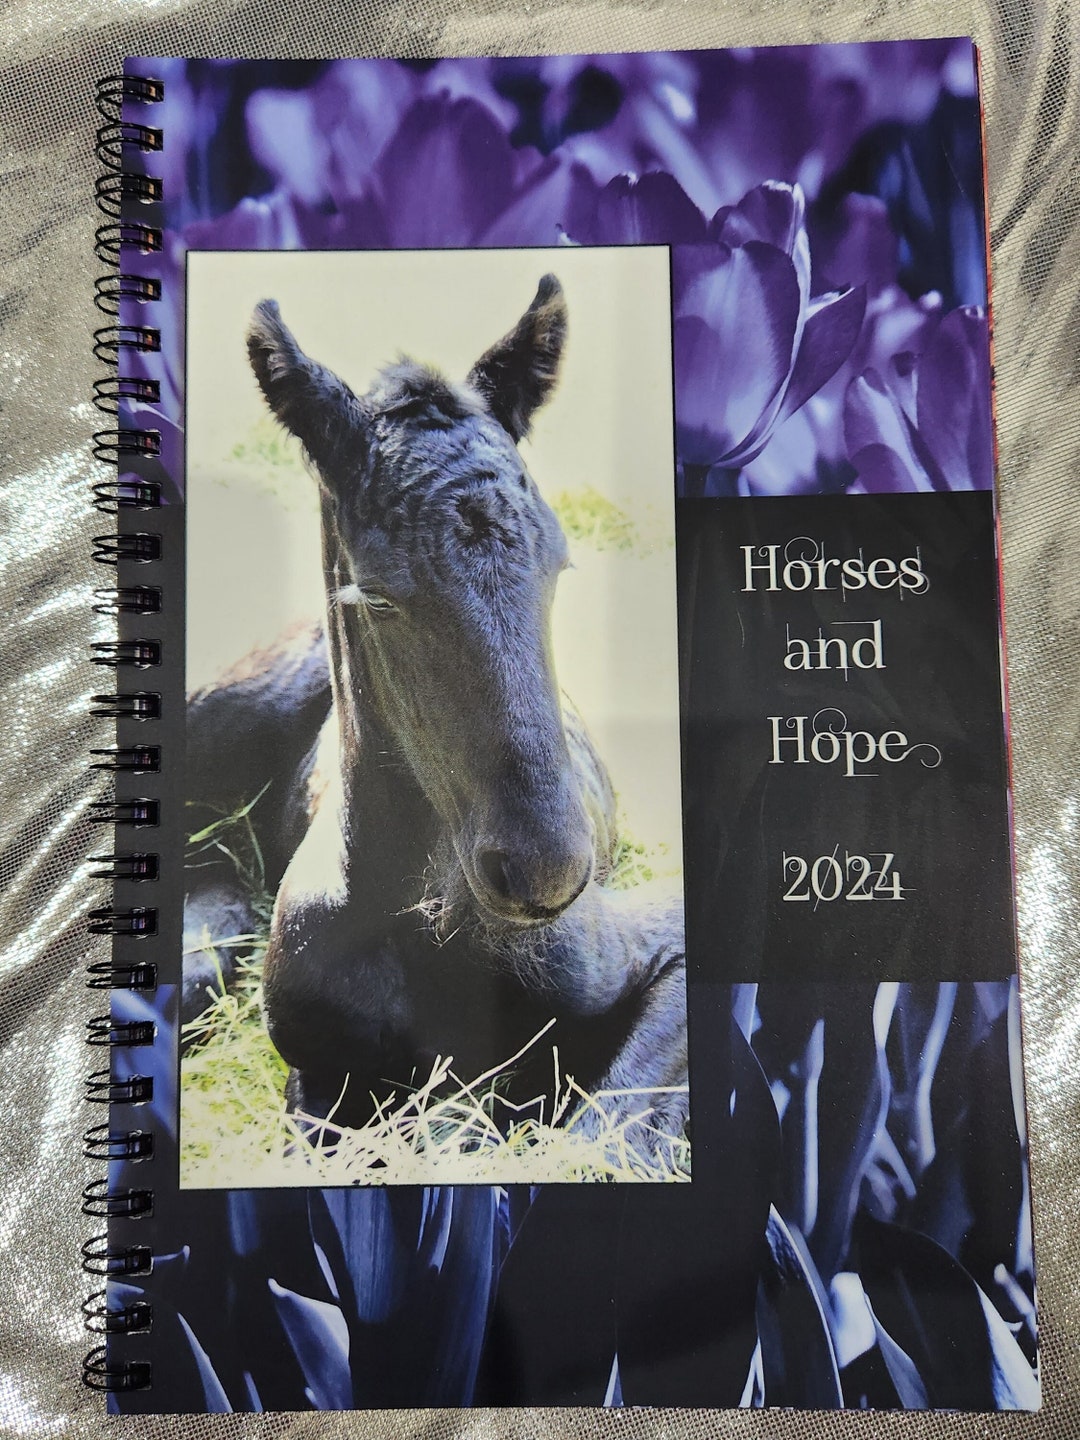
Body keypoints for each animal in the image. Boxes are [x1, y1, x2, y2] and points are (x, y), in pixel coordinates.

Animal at [184, 274, 688, 1158]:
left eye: (559, 564)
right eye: (379, 596)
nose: (546, 871)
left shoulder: (665, 945)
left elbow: (602, 1129)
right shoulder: (316, 1080)